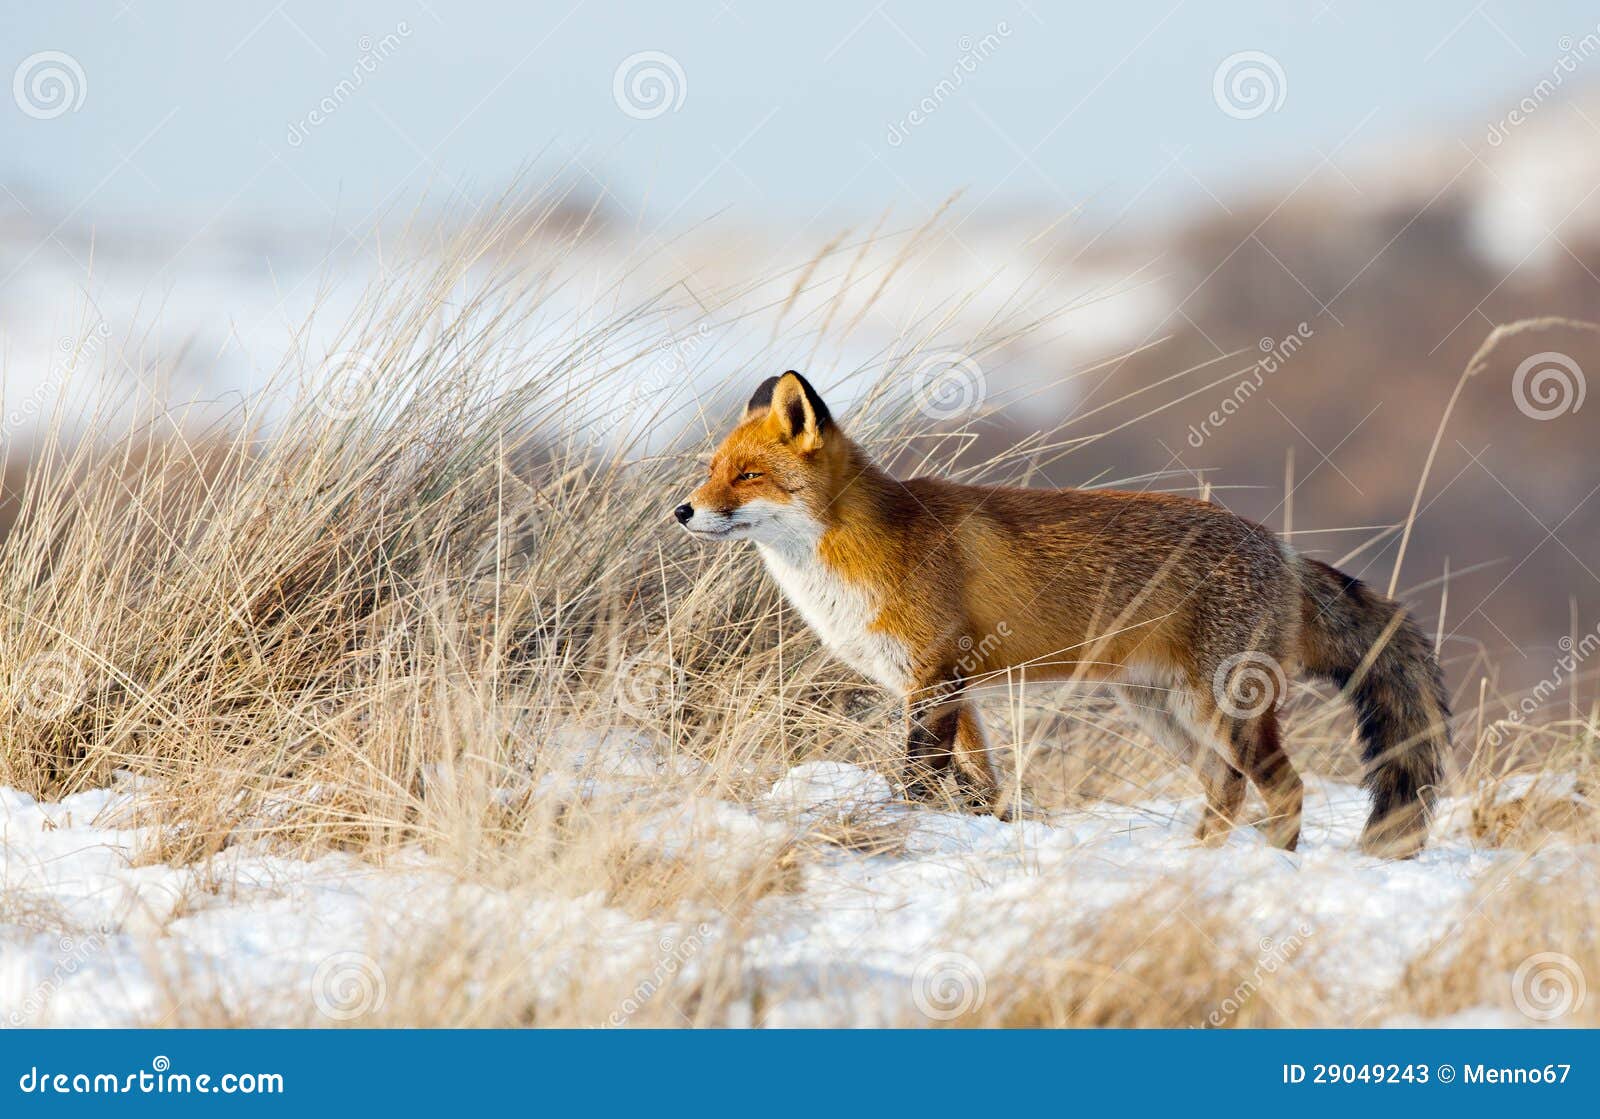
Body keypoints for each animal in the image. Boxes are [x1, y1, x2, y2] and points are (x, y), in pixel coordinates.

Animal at [675, 371, 1450, 858]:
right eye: (710, 470)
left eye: (747, 476)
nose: (681, 511)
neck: (855, 556)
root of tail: (1282, 549)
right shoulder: (950, 690)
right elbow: (981, 782)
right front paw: (988, 825)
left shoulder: (935, 677)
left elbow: (919, 778)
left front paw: (908, 822)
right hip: (1162, 710)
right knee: (1227, 786)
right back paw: (1196, 863)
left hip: (1225, 704)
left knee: (1283, 787)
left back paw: (1270, 867)